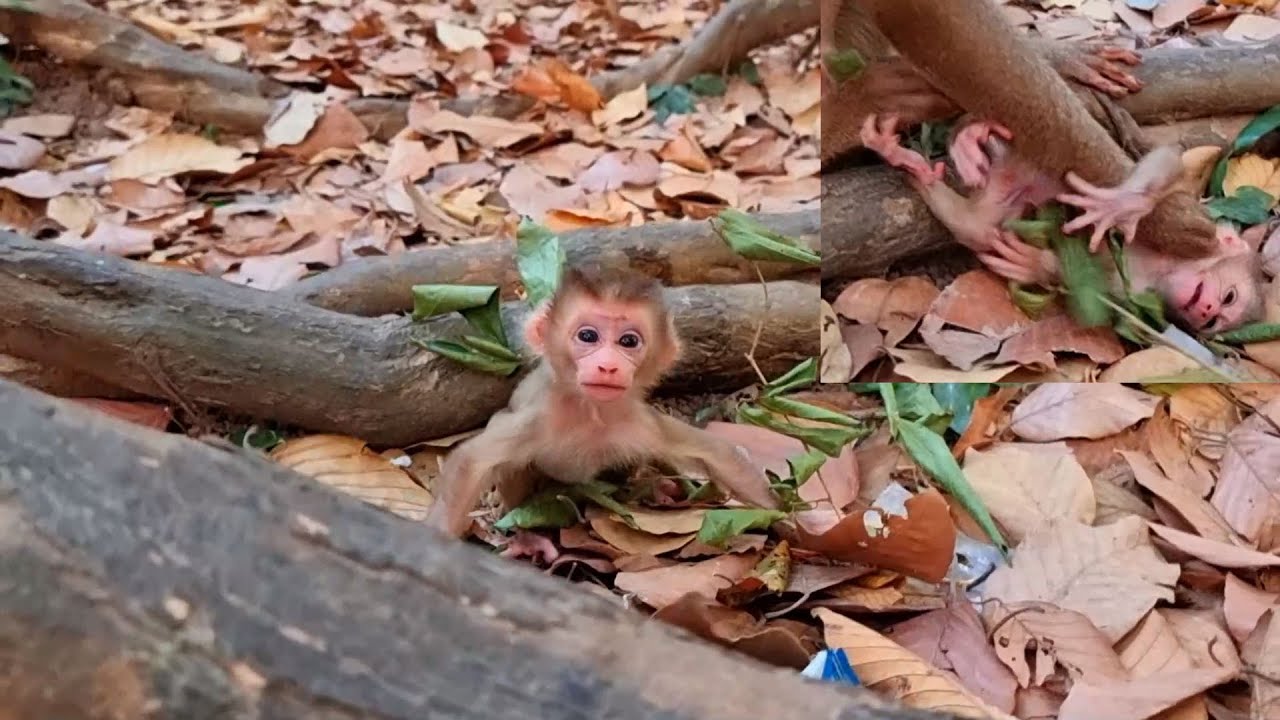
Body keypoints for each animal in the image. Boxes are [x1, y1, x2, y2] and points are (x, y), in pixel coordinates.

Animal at [424, 265, 780, 539]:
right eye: (588, 336)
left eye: (629, 341)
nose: (608, 366)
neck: (590, 414)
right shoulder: (540, 417)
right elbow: (473, 461)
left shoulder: (641, 423)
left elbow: (719, 453)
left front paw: (785, 520)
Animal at [860, 114, 1266, 334]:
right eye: (1228, 297)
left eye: (1216, 322)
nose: (1206, 311)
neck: (1167, 268)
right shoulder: (1196, 231)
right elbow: (1167, 163)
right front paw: (1124, 204)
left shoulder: (1135, 293)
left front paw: (1035, 265)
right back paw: (967, 139)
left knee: (974, 226)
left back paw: (911, 165)